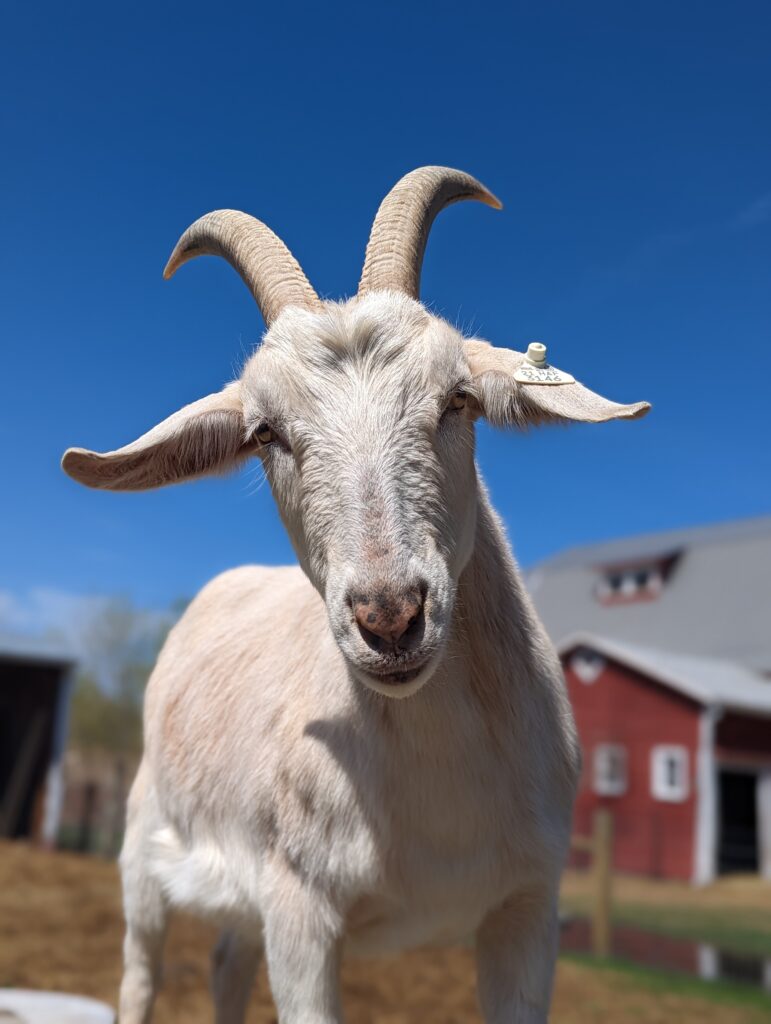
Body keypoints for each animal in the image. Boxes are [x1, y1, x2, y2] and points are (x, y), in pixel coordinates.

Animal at [63, 166, 649, 1024]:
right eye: (264, 434)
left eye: (458, 399)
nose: (389, 616)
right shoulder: (300, 910)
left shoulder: (527, 911)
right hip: (145, 847)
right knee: (140, 974)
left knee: (225, 966)